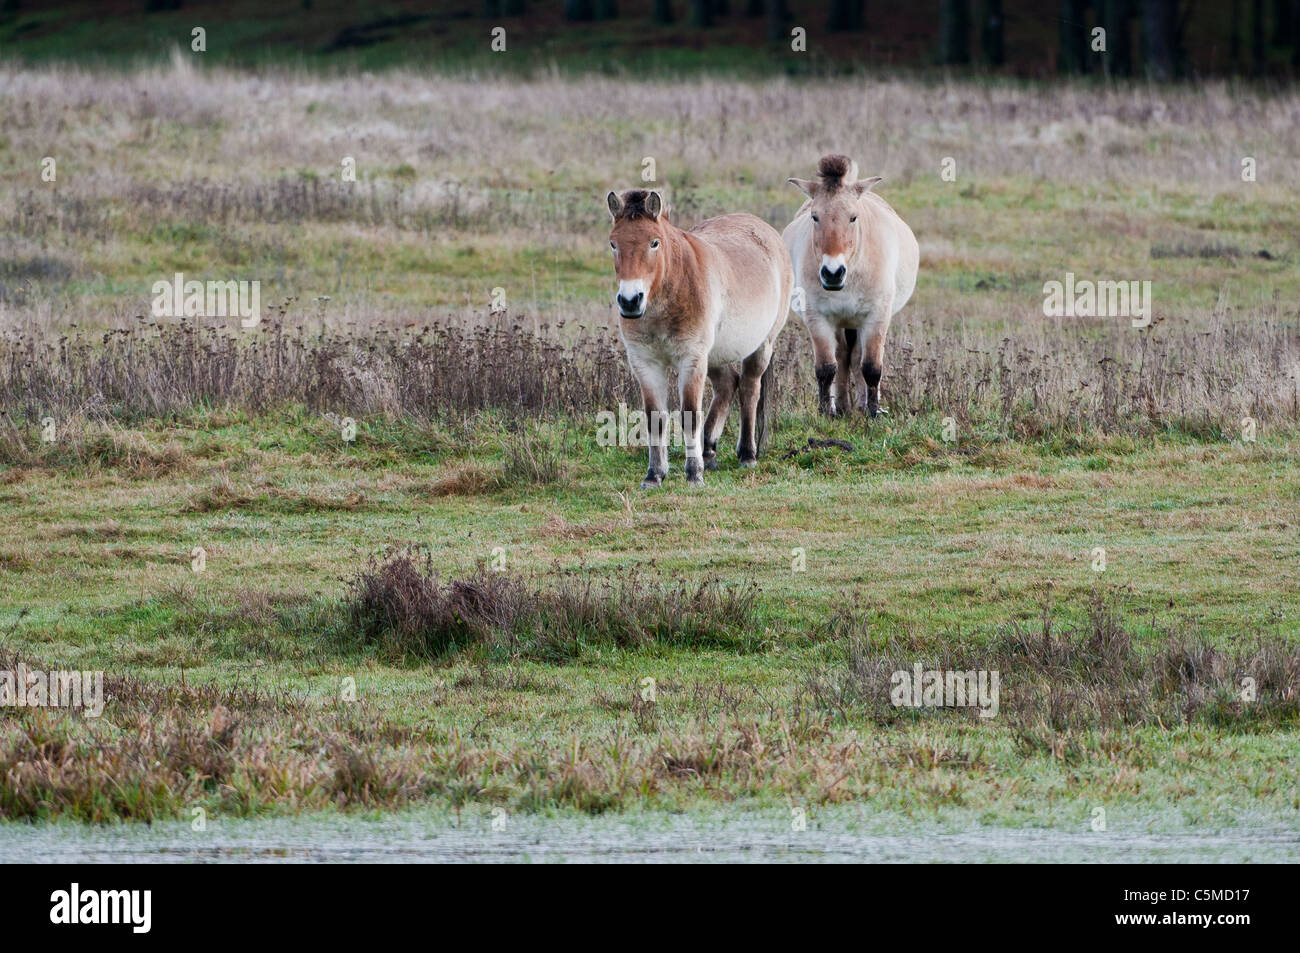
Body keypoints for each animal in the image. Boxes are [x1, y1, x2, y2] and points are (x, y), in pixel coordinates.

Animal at [605, 188, 793, 488]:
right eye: (613, 243)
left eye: (654, 242)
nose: (630, 301)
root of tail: (767, 231)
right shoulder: (645, 363)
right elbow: (655, 418)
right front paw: (654, 474)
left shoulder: (691, 359)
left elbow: (690, 415)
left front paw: (694, 474)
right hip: (714, 356)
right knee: (728, 385)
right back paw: (709, 450)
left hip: (761, 346)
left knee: (749, 390)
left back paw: (747, 455)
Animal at [783, 154, 919, 418]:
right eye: (815, 216)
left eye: (853, 217)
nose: (832, 273)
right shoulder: (818, 318)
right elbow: (826, 368)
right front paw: (827, 412)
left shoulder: (876, 317)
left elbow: (871, 367)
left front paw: (874, 412)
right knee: (843, 357)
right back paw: (844, 406)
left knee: (856, 358)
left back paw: (862, 404)